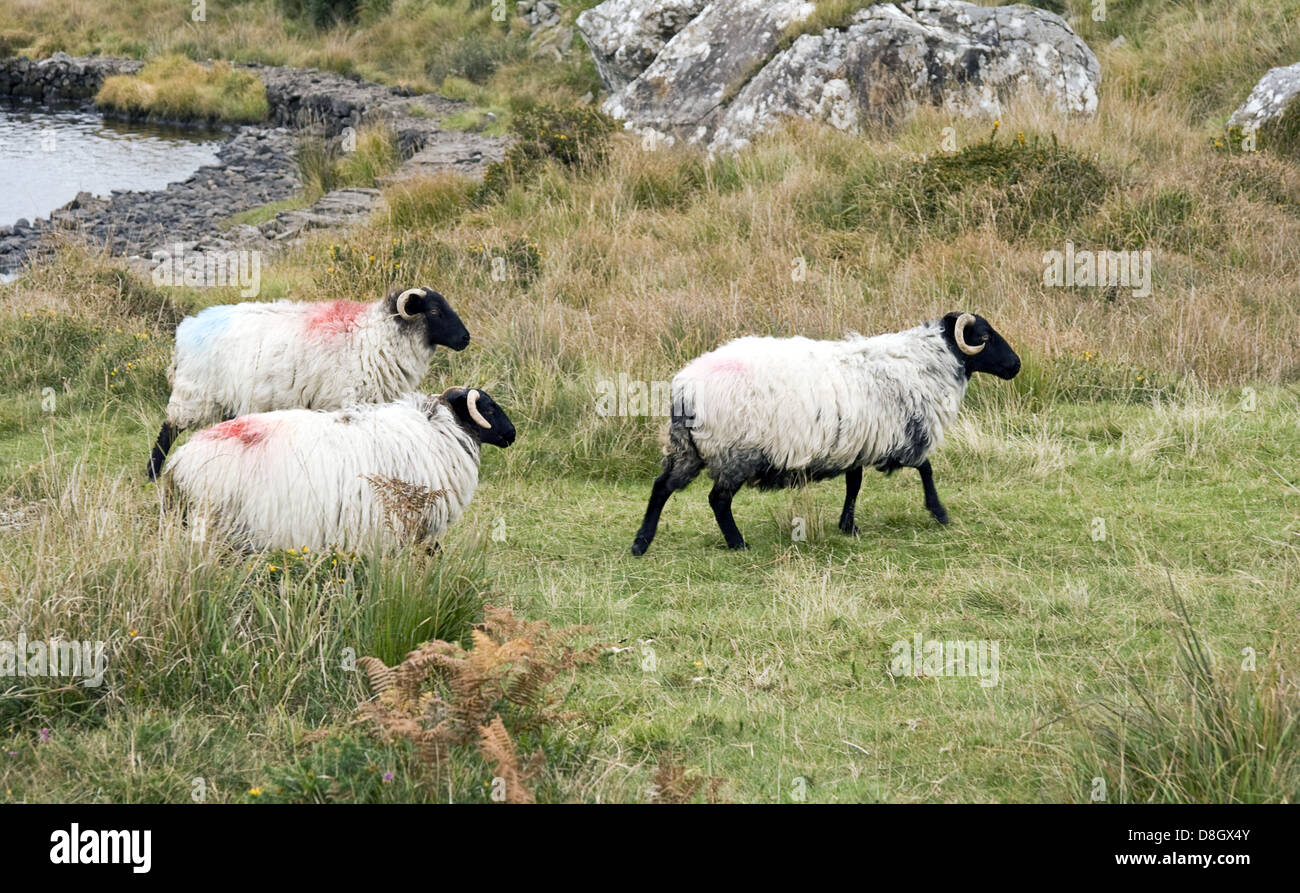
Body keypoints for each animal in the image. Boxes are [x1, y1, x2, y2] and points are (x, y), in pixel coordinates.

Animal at [147, 286, 471, 479]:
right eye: (434, 311)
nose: (466, 339)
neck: (374, 336)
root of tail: (187, 329)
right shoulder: (347, 401)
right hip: (194, 393)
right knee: (168, 430)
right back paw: (152, 473)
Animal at [630, 312, 1021, 555]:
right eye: (985, 336)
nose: (1016, 366)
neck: (928, 361)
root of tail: (684, 385)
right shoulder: (899, 437)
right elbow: (925, 468)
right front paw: (939, 512)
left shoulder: (859, 441)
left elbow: (854, 483)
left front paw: (848, 525)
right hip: (735, 450)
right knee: (718, 500)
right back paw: (737, 543)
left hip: (690, 447)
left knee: (662, 486)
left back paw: (640, 543)